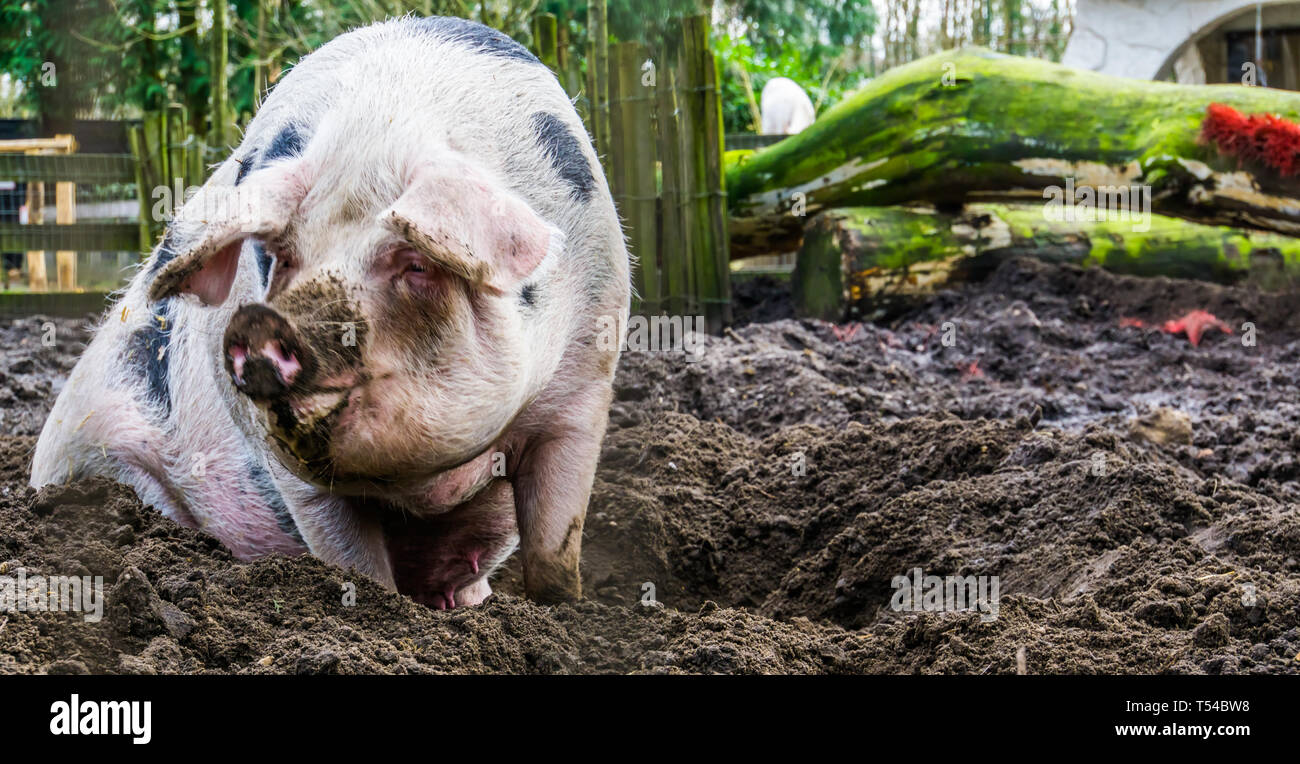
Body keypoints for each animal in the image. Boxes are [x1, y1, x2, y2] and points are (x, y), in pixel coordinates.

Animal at [30, 16, 630, 608]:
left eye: (415, 263)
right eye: (281, 255)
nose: (263, 322)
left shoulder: (583, 390)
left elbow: (555, 547)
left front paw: (560, 612)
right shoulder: (285, 462)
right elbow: (354, 563)